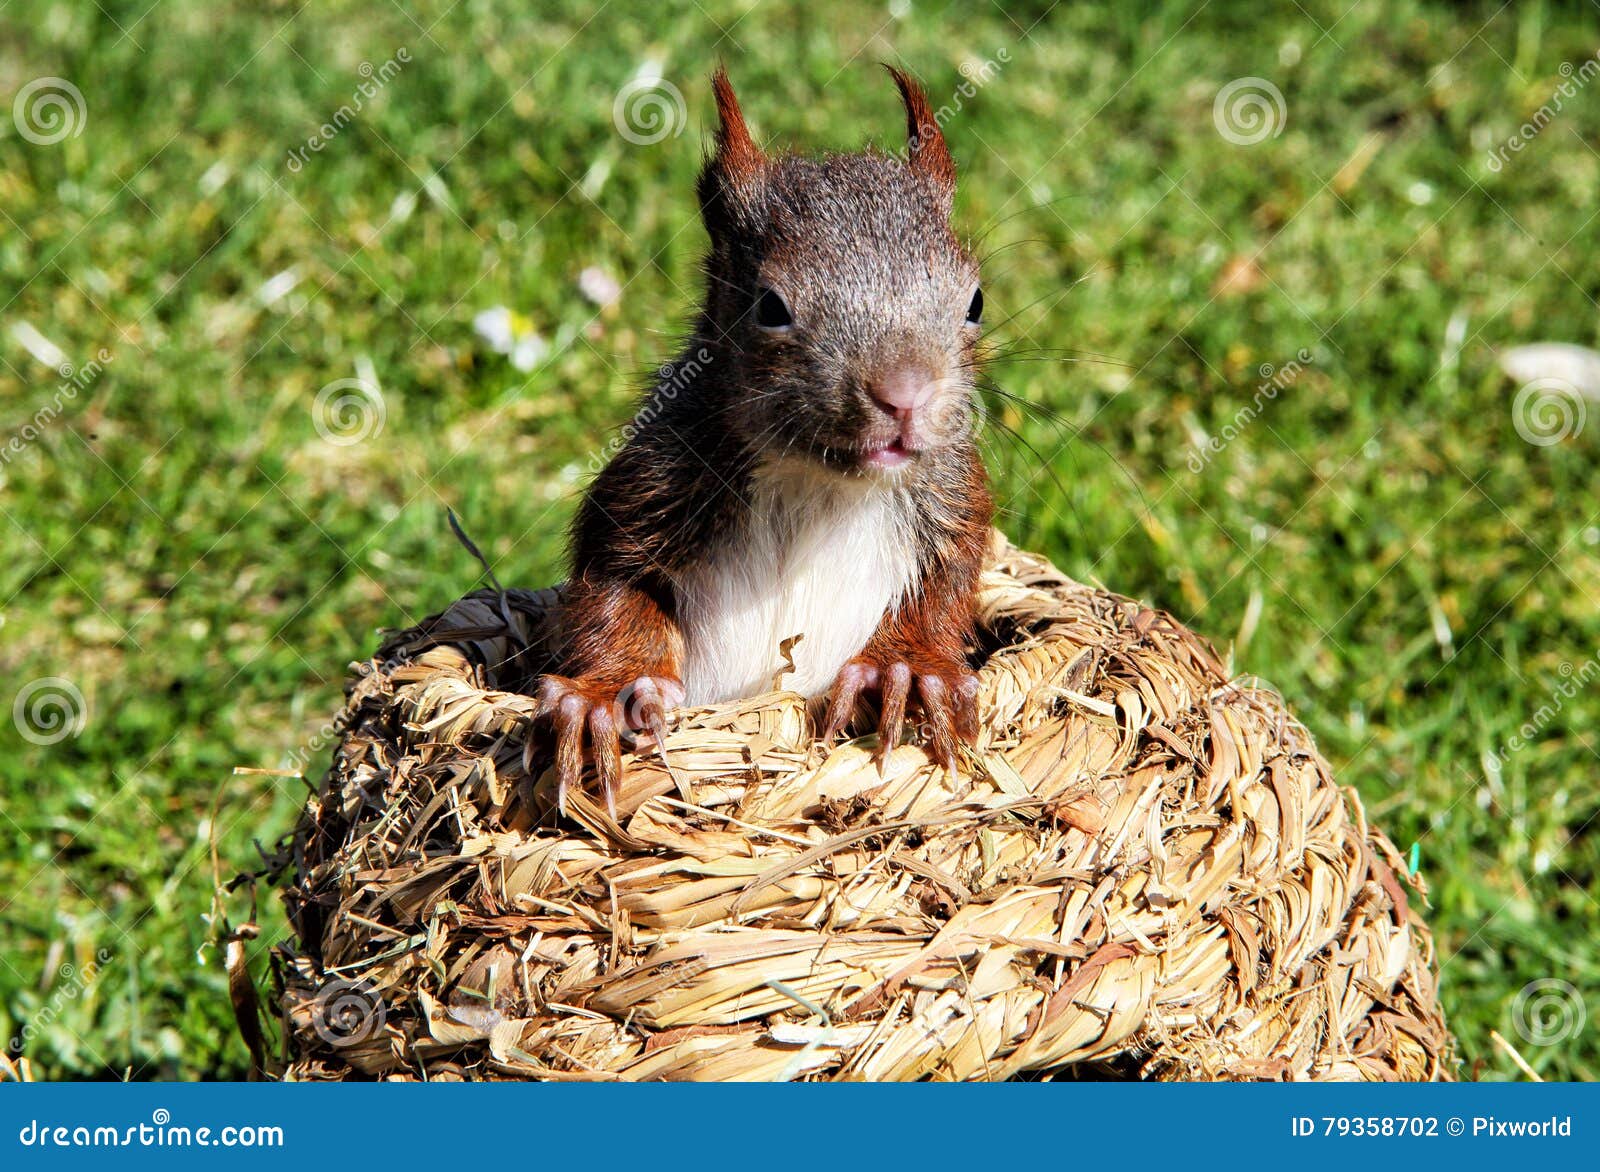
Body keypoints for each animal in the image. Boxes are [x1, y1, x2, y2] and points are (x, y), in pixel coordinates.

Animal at [539, 67, 994, 813]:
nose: (904, 395)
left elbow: (950, 582)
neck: (818, 481)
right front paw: (606, 692)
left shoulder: (953, 494)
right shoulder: (649, 484)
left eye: (975, 301)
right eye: (770, 306)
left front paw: (906, 667)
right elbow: (609, 587)